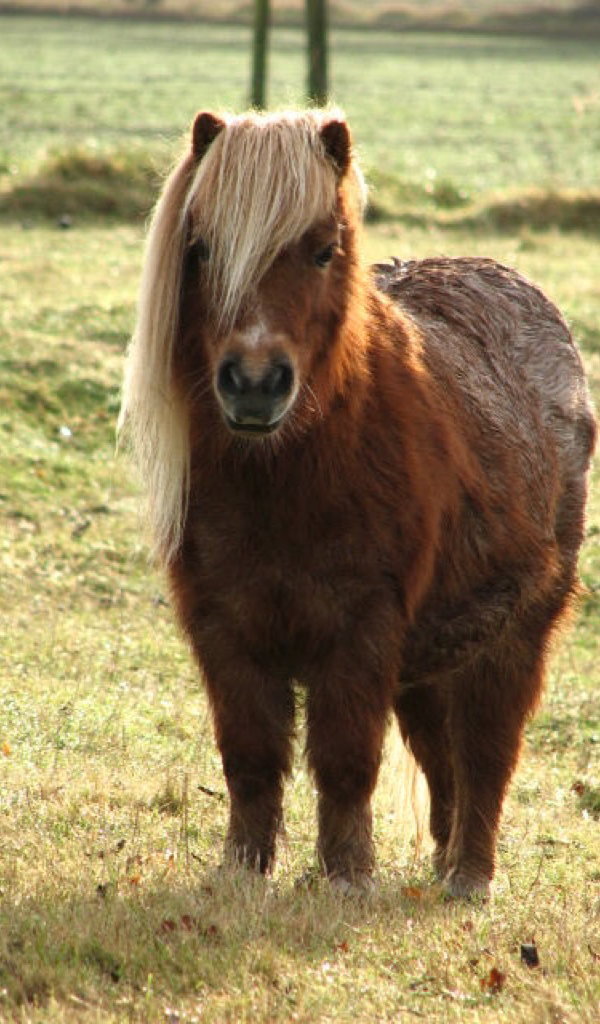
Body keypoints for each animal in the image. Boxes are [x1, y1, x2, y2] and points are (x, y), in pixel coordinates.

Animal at [119, 108, 596, 898]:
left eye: (323, 250)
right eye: (200, 248)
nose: (255, 384)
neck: (287, 481)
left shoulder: (360, 631)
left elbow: (345, 763)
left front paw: (346, 878)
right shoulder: (224, 629)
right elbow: (250, 760)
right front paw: (242, 876)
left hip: (516, 633)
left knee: (486, 752)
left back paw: (468, 879)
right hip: (431, 652)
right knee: (442, 758)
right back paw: (442, 865)